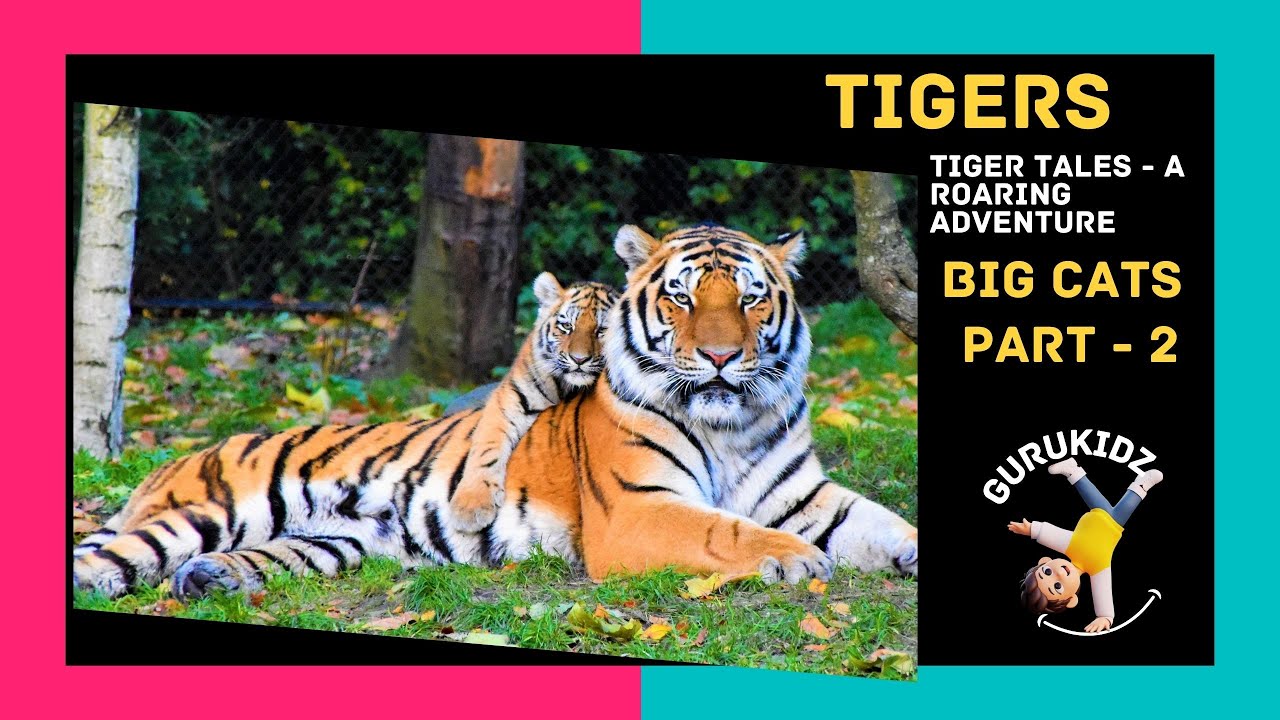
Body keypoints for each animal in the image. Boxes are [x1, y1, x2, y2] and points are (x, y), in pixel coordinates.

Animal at [448, 272, 616, 532]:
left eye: (602, 330)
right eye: (567, 326)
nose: (579, 360)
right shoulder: (509, 399)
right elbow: (486, 447)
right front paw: (470, 507)